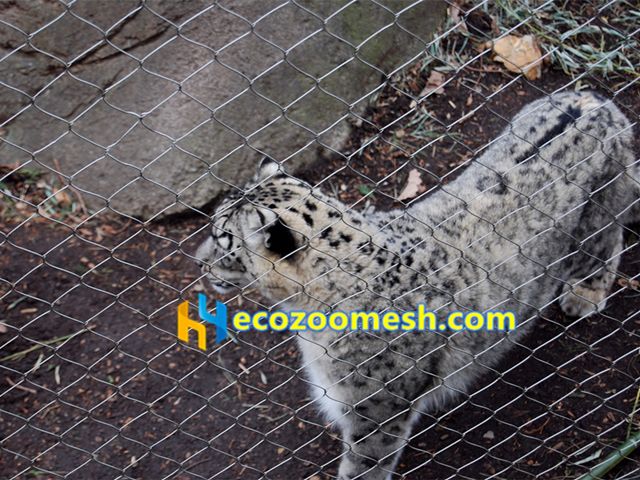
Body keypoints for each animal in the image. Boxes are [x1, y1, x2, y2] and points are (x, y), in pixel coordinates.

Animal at [195, 91, 638, 479]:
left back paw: (585, 293)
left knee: (608, 240)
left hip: (596, 223)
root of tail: (598, 101)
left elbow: (366, 463)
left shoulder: (375, 409)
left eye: (223, 240)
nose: (198, 261)